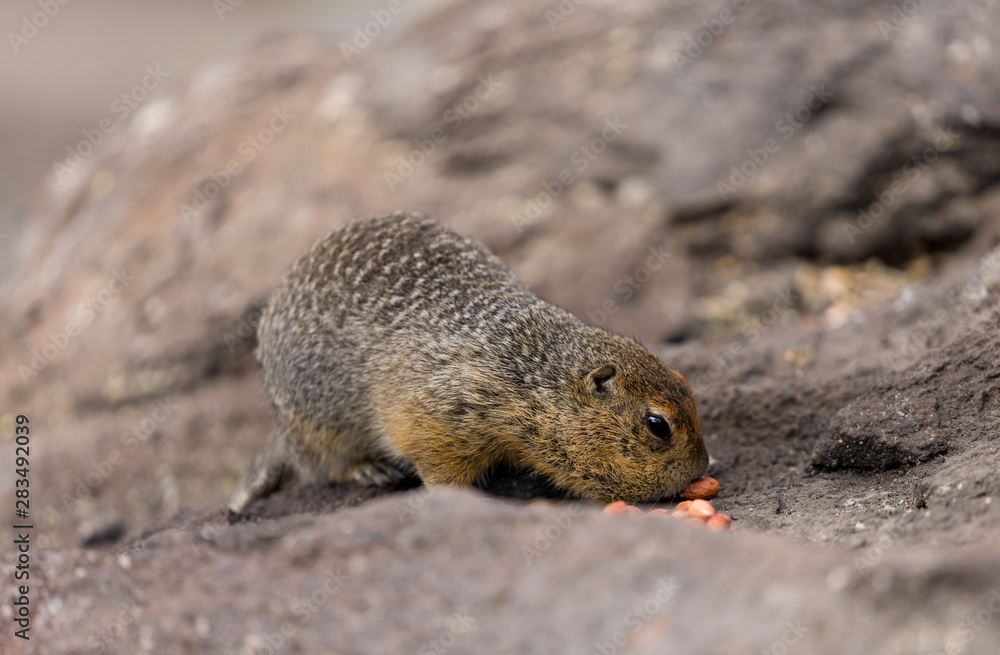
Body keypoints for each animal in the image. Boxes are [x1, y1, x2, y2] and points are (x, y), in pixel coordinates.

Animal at [228, 211, 708, 513]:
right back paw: (367, 469)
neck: (532, 373)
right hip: (316, 425)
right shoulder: (437, 421)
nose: (703, 467)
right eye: (658, 425)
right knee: (321, 466)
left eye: (689, 386)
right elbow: (438, 471)